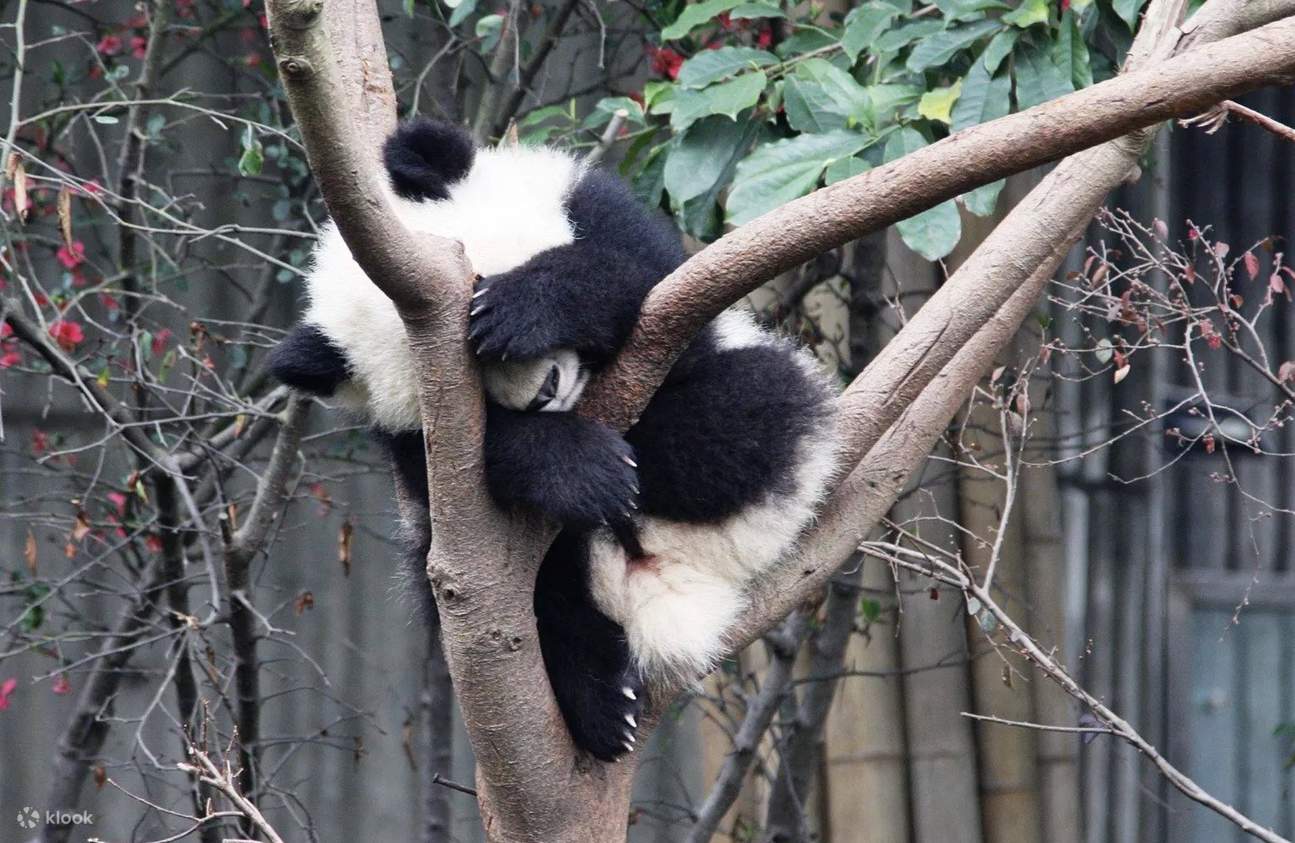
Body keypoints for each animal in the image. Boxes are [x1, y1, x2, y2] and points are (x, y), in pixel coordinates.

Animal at [270, 118, 841, 762]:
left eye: (478, 297)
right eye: (476, 400)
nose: (544, 393)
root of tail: (658, 581)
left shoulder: (605, 218)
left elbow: (639, 283)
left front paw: (523, 309)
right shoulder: (404, 439)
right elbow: (464, 462)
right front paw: (574, 465)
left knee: (740, 417)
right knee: (548, 598)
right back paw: (602, 699)